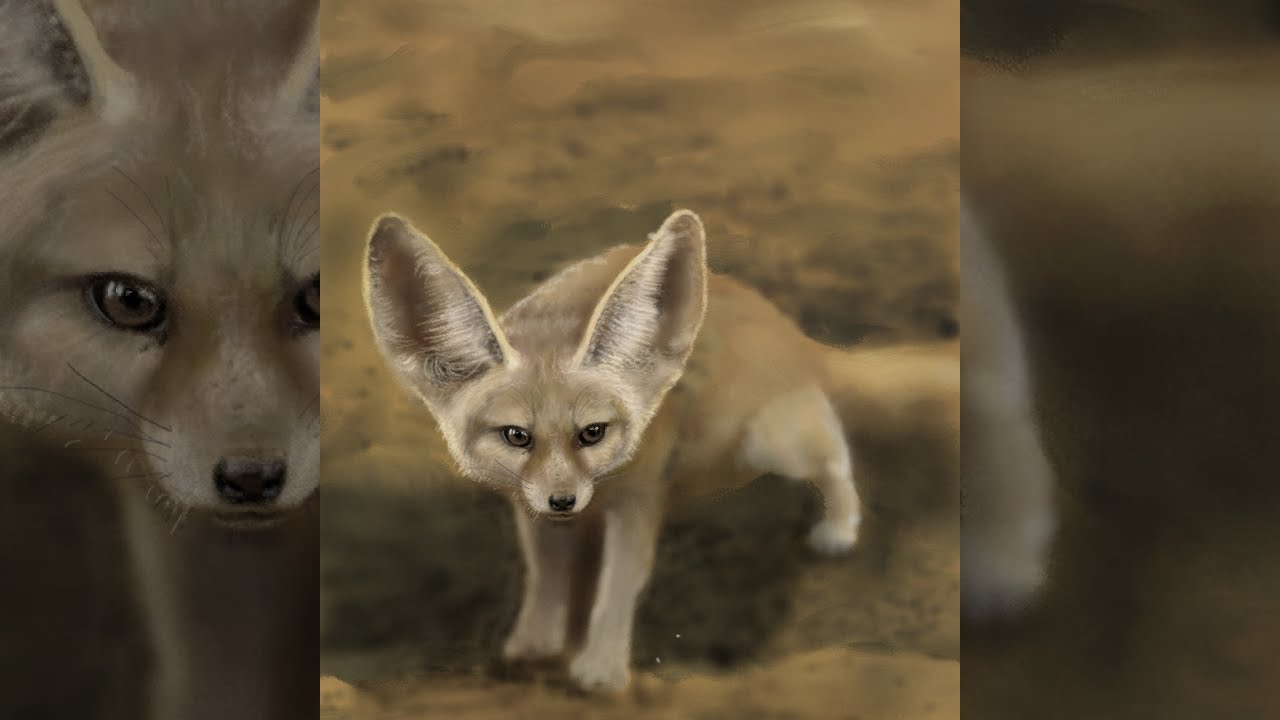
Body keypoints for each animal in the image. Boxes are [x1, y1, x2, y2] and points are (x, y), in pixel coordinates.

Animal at [362, 208, 960, 692]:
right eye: (516, 436)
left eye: (593, 433)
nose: (563, 500)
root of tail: (788, 329)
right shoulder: (533, 511)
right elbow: (546, 581)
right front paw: (533, 646)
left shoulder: (639, 499)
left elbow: (619, 586)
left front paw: (600, 672)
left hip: (774, 442)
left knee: (835, 449)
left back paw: (840, 527)